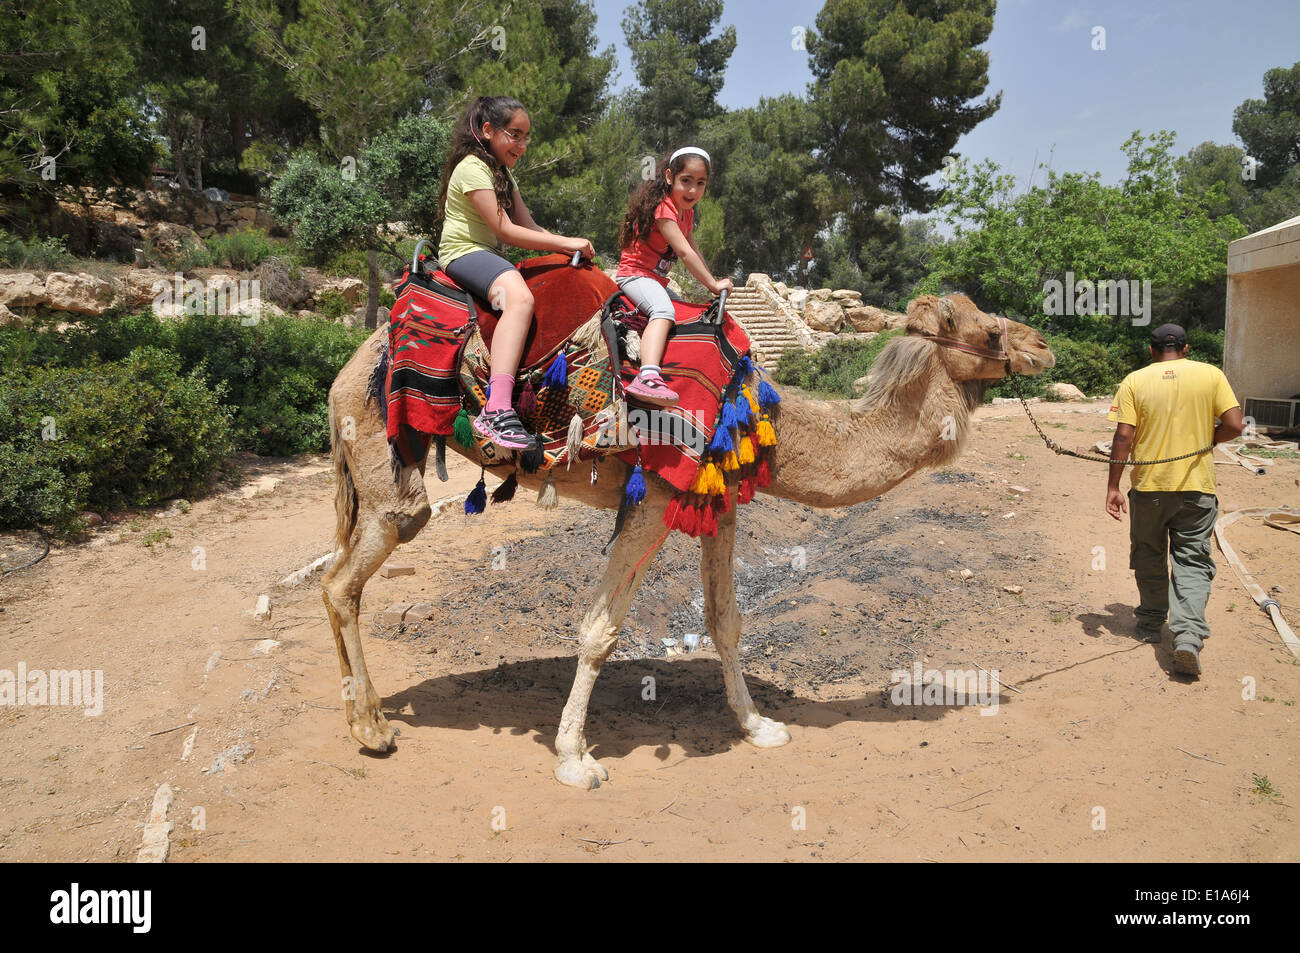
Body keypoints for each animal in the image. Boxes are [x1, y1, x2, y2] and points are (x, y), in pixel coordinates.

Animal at [321, 291, 1054, 788]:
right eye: (992, 327)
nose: (1045, 344)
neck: (765, 415)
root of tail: (352, 362)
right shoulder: (652, 499)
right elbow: (601, 631)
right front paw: (575, 759)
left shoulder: (721, 503)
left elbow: (727, 620)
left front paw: (759, 726)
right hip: (382, 453)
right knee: (345, 577)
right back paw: (373, 729)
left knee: (337, 578)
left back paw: (365, 713)